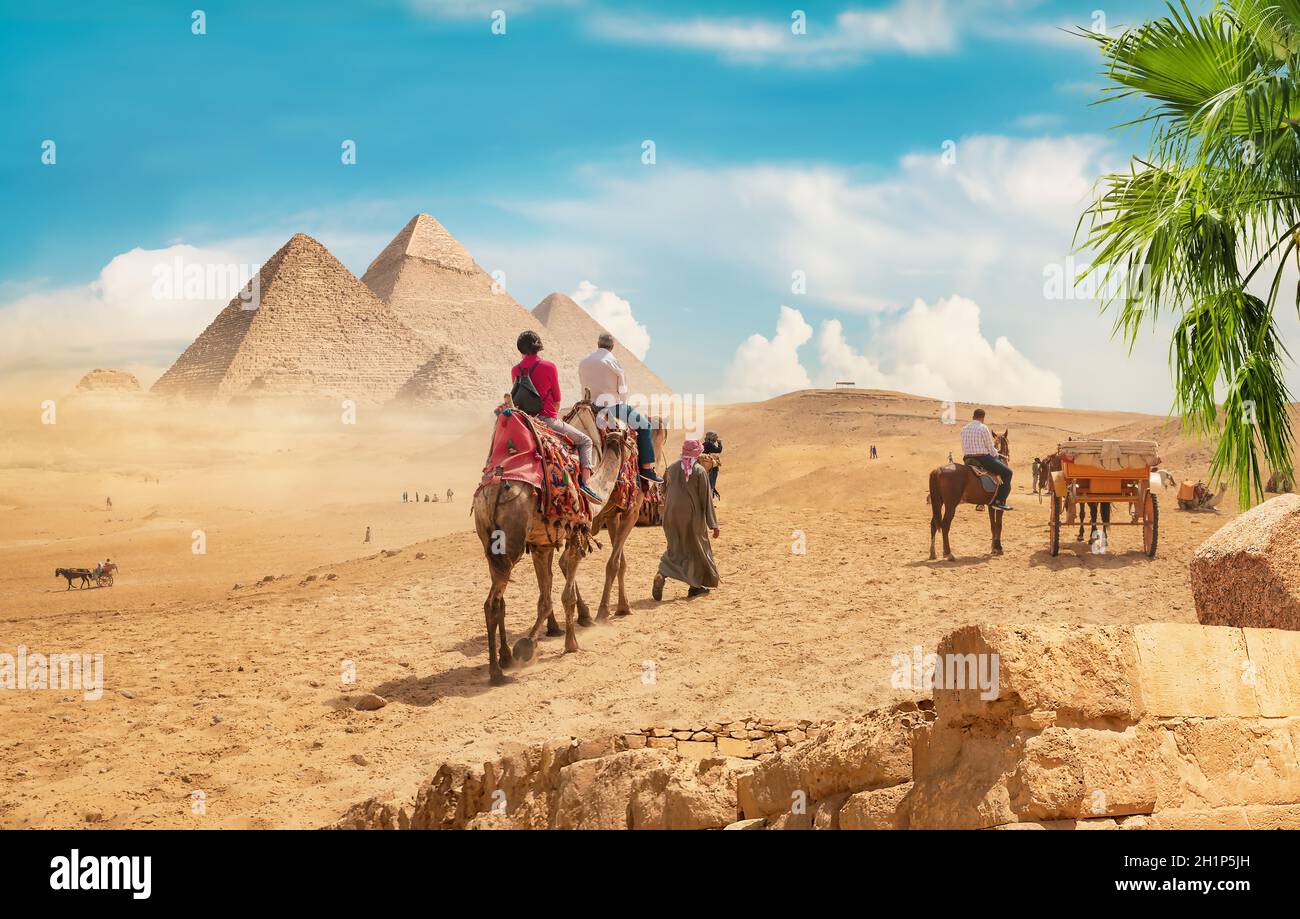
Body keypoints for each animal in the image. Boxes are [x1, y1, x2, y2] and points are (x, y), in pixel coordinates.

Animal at [472, 403, 631, 685]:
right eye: (625, 435)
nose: (635, 445)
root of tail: (494, 490)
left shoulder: (541, 545)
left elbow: (544, 599)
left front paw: (530, 644)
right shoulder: (576, 534)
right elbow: (566, 593)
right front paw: (569, 644)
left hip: (491, 545)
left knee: (497, 602)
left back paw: (503, 660)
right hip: (511, 545)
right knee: (493, 602)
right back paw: (497, 672)